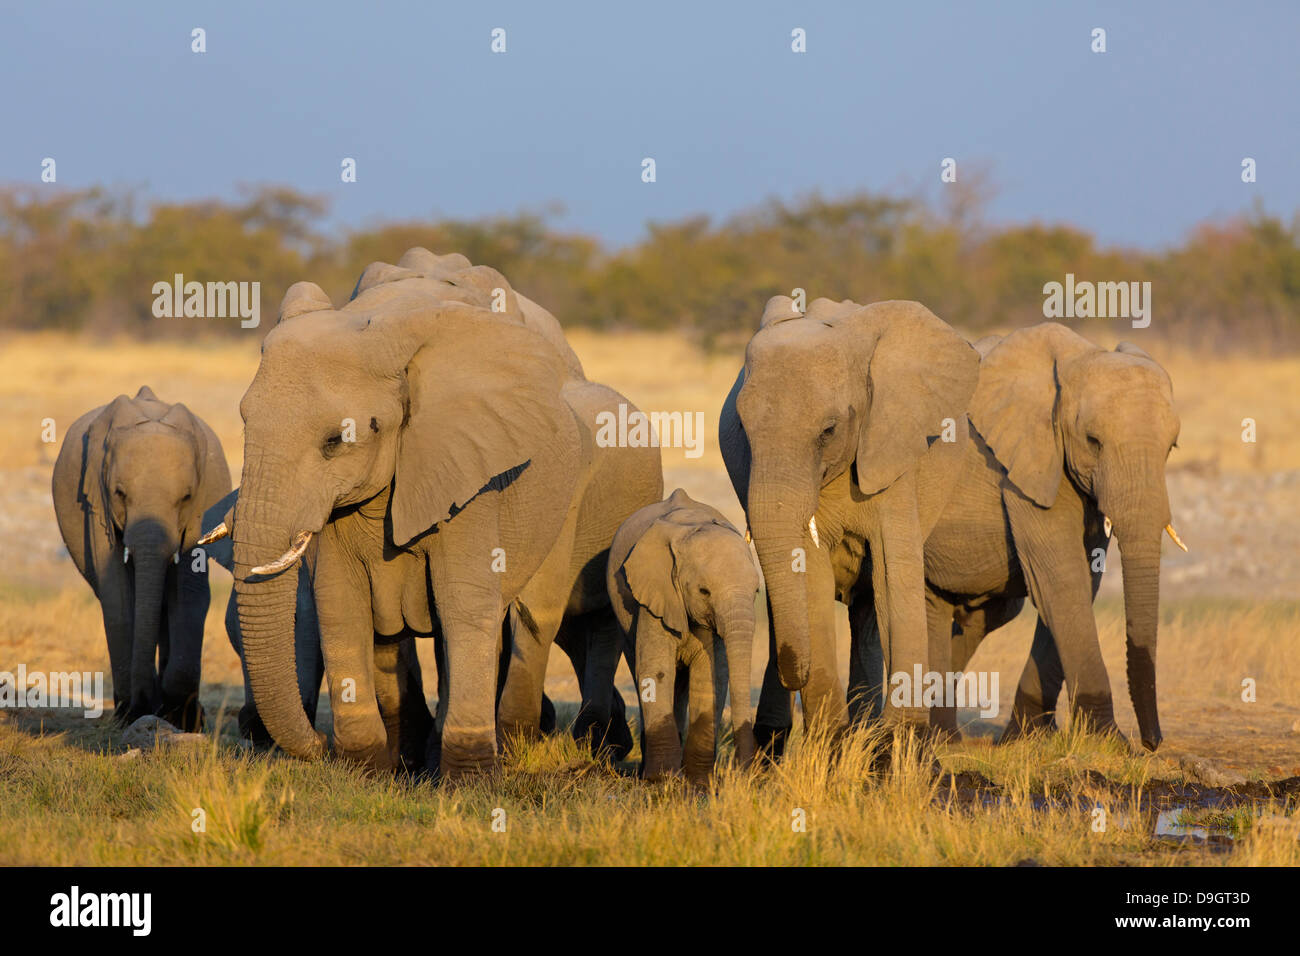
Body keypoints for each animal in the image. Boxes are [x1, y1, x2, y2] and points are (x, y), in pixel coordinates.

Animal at [51, 386, 231, 729]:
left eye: (186, 497)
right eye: (120, 494)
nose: (144, 704)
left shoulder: (203, 501)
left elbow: (189, 589)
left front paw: (182, 717)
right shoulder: (95, 501)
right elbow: (118, 594)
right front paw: (135, 712)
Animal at [230, 249, 659, 776]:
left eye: (335, 441)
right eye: (244, 422)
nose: (317, 744)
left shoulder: (474, 468)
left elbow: (463, 601)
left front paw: (467, 780)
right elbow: (340, 603)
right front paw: (364, 772)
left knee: (531, 614)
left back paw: (515, 745)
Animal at [607, 488, 760, 783]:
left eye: (757, 592)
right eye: (704, 591)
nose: (743, 773)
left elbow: (711, 675)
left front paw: (698, 782)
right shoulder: (654, 595)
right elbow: (656, 670)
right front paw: (662, 780)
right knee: (640, 671)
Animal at [719, 295, 979, 757]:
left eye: (828, 430)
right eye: (742, 430)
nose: (795, 672)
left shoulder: (893, 450)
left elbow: (894, 573)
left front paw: (899, 749)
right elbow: (809, 574)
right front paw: (831, 744)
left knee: (868, 610)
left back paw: (868, 733)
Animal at [922, 323, 1184, 750]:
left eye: (1171, 447)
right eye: (1093, 441)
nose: (1153, 742)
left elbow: (1079, 581)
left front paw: (1025, 740)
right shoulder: (1024, 469)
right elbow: (1062, 579)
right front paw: (1109, 743)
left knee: (967, 615)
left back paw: (942, 738)